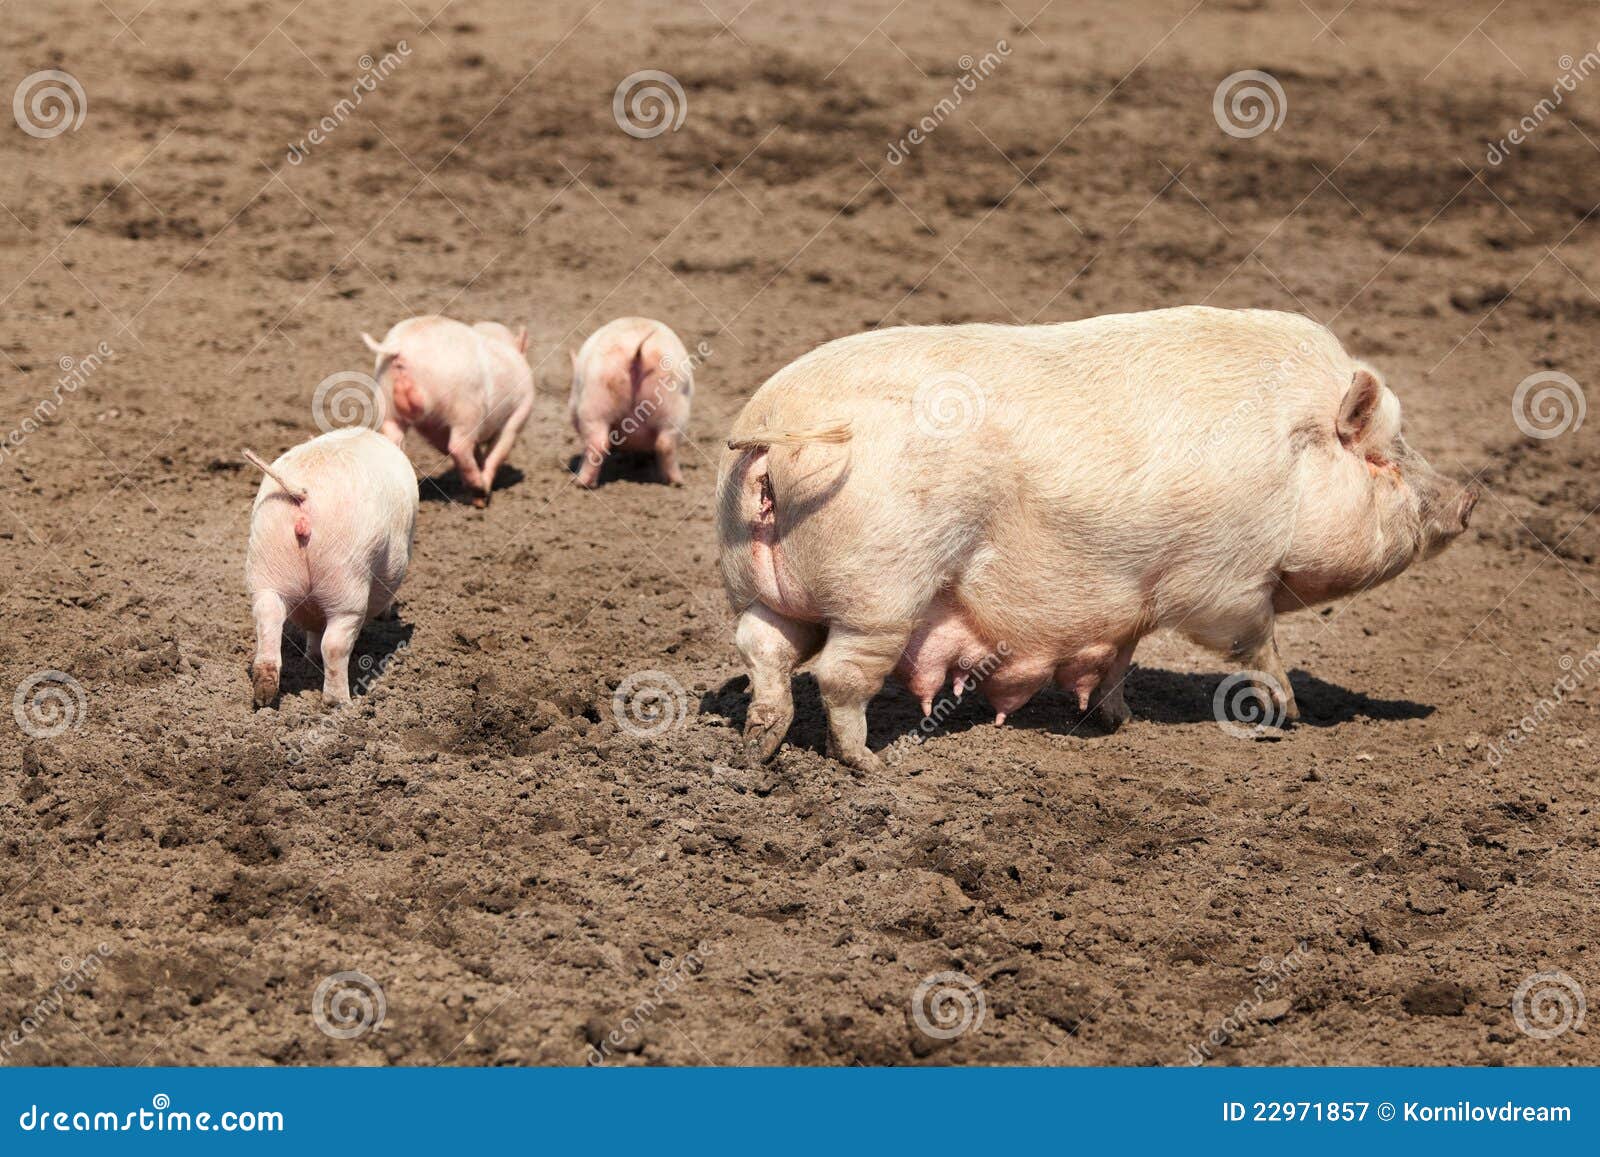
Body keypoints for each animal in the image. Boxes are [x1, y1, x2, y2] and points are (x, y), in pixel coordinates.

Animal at [244, 427, 418, 708]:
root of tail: (304, 494)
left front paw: (309, 658)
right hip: (347, 577)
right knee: (334, 644)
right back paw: (341, 703)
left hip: (267, 562)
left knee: (268, 618)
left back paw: (265, 695)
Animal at [362, 315, 535, 507]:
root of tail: (400, 345)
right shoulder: (519, 413)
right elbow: (499, 450)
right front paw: (483, 495)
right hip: (466, 408)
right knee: (458, 446)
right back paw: (480, 491)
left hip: (387, 400)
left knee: (396, 439)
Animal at [568, 317, 693, 487]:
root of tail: (638, 353)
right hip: (674, 404)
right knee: (666, 444)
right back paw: (676, 482)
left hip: (597, 397)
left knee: (598, 443)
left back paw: (580, 483)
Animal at [717, 306, 1478, 772]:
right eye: (1382, 458)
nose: (1469, 498)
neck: (1291, 465)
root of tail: (776, 431)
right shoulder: (1223, 580)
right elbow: (1255, 644)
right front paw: (1289, 715)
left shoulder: (1134, 600)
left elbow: (1119, 659)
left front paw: (1119, 722)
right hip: (880, 591)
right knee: (840, 678)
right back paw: (869, 765)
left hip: (764, 589)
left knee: (763, 653)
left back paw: (756, 751)